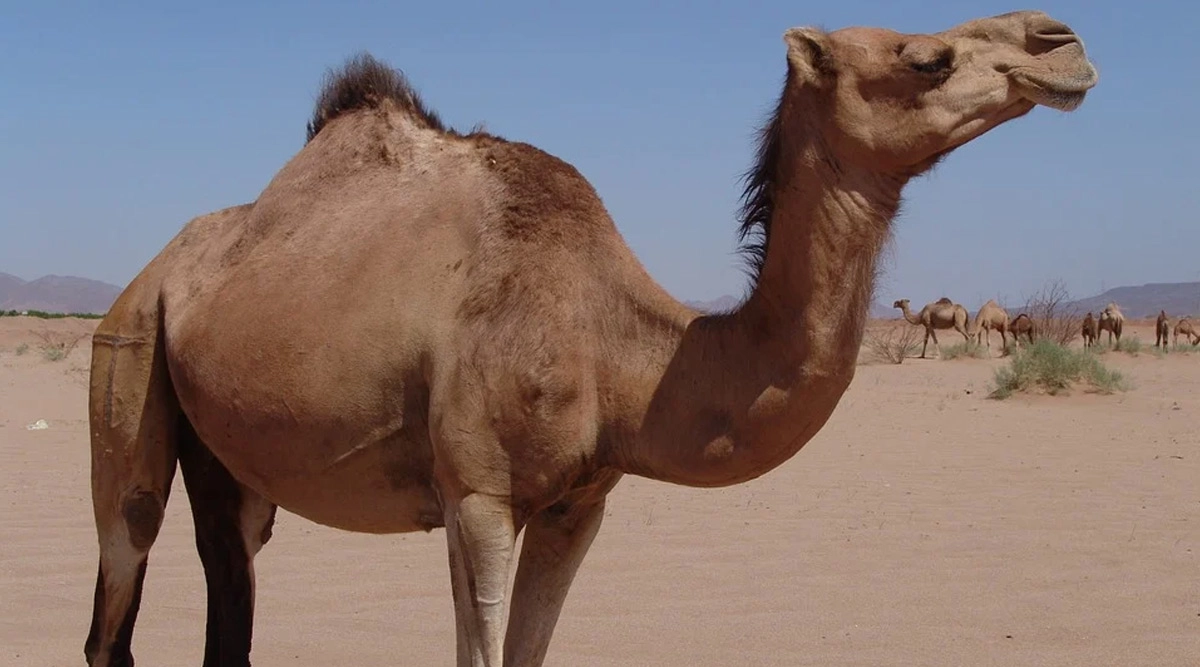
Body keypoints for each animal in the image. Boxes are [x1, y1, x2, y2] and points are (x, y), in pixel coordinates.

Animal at [83, 11, 1097, 667]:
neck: (621, 352)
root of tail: (156, 272)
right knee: (118, 582)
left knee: (230, 582)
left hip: (228, 451)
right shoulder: (478, 490)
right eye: (927, 57)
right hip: (129, 348)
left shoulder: (581, 501)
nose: (1066, 42)